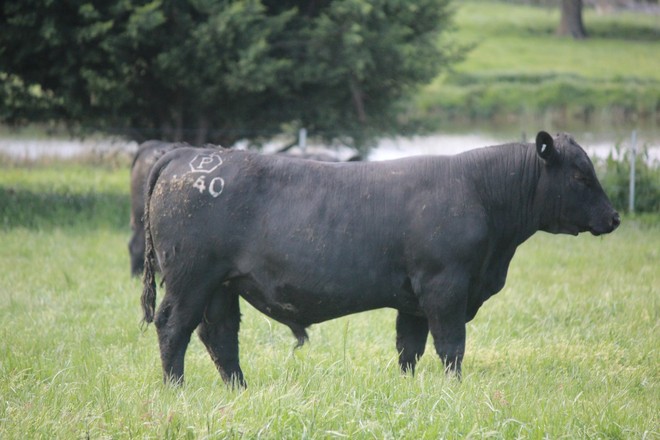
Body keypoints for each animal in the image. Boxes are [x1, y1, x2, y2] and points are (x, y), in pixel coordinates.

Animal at [140, 131, 619, 386]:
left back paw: (239, 389)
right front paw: (455, 388)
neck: (480, 192)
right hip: (190, 278)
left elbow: (410, 348)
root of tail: (190, 153)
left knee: (219, 336)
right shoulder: (445, 288)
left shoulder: (414, 301)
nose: (614, 217)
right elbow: (451, 346)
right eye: (580, 175)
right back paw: (176, 388)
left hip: (221, 286)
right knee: (174, 327)